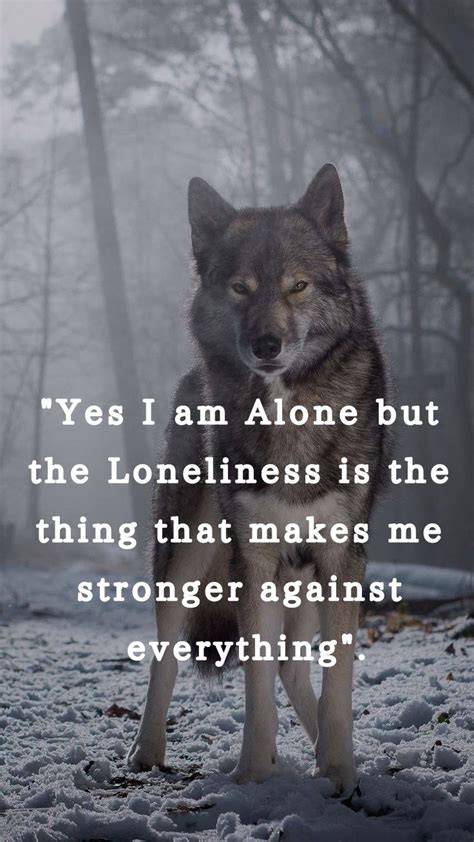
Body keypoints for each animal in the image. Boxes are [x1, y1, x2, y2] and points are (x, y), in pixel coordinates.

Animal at [128, 164, 388, 794]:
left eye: (298, 286)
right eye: (241, 288)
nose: (266, 345)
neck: (286, 409)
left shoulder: (341, 558)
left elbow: (336, 684)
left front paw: (339, 770)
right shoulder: (253, 557)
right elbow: (254, 688)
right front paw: (252, 774)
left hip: (304, 578)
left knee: (293, 666)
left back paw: (322, 754)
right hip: (186, 557)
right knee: (168, 655)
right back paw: (146, 752)